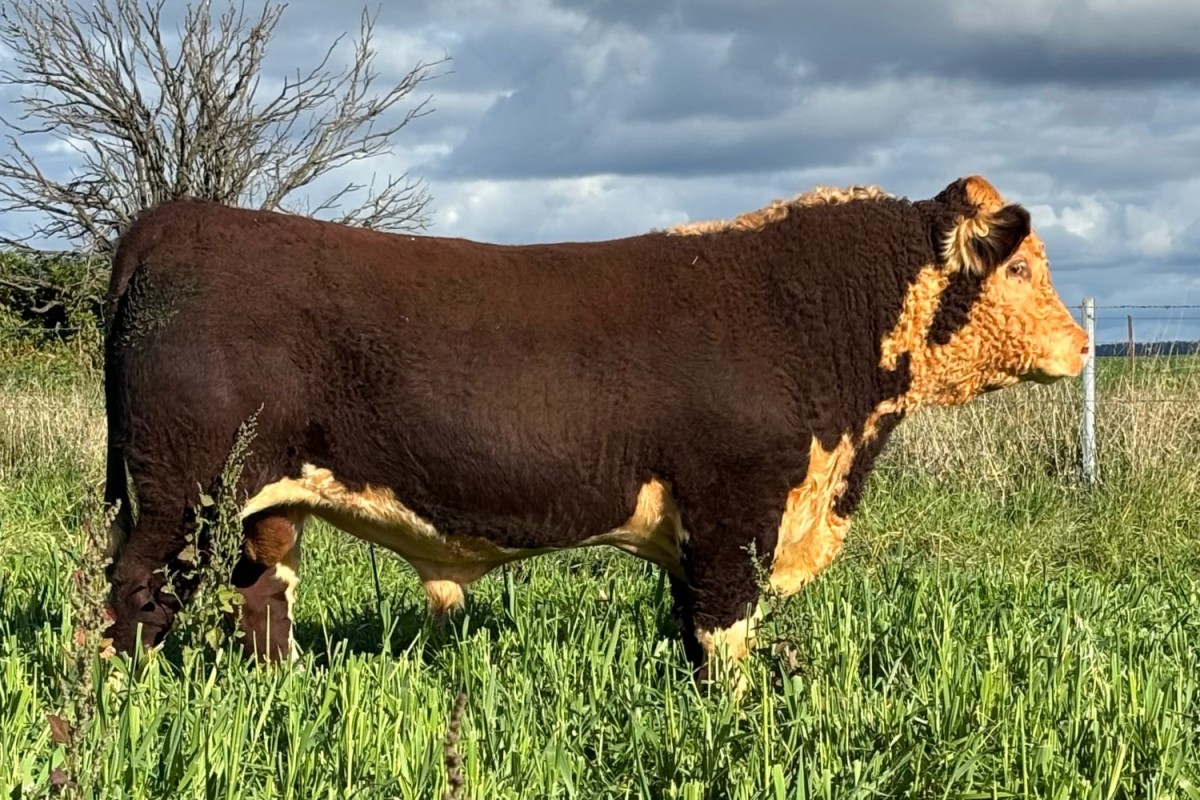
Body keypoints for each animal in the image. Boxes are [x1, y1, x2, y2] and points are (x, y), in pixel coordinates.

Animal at [101, 175, 1088, 682]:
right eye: (1023, 265)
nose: (1082, 345)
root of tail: (178, 218)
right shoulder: (736, 510)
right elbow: (724, 632)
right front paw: (736, 720)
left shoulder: (701, 531)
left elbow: (690, 628)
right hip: (177, 493)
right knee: (130, 603)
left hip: (264, 500)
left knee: (265, 598)